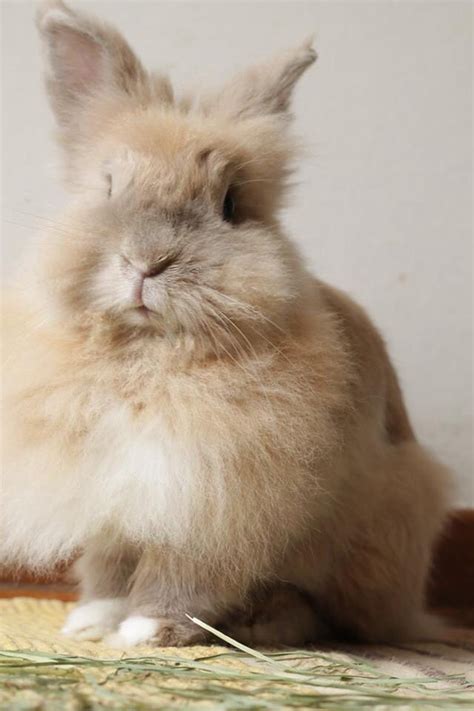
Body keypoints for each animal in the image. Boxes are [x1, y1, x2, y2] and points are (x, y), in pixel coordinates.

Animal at [1, 0, 451, 648]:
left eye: (231, 206)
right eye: (109, 187)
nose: (147, 262)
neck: (148, 357)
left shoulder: (216, 505)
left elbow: (182, 577)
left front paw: (144, 632)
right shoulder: (112, 499)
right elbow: (110, 564)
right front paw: (93, 621)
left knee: (327, 612)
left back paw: (264, 622)